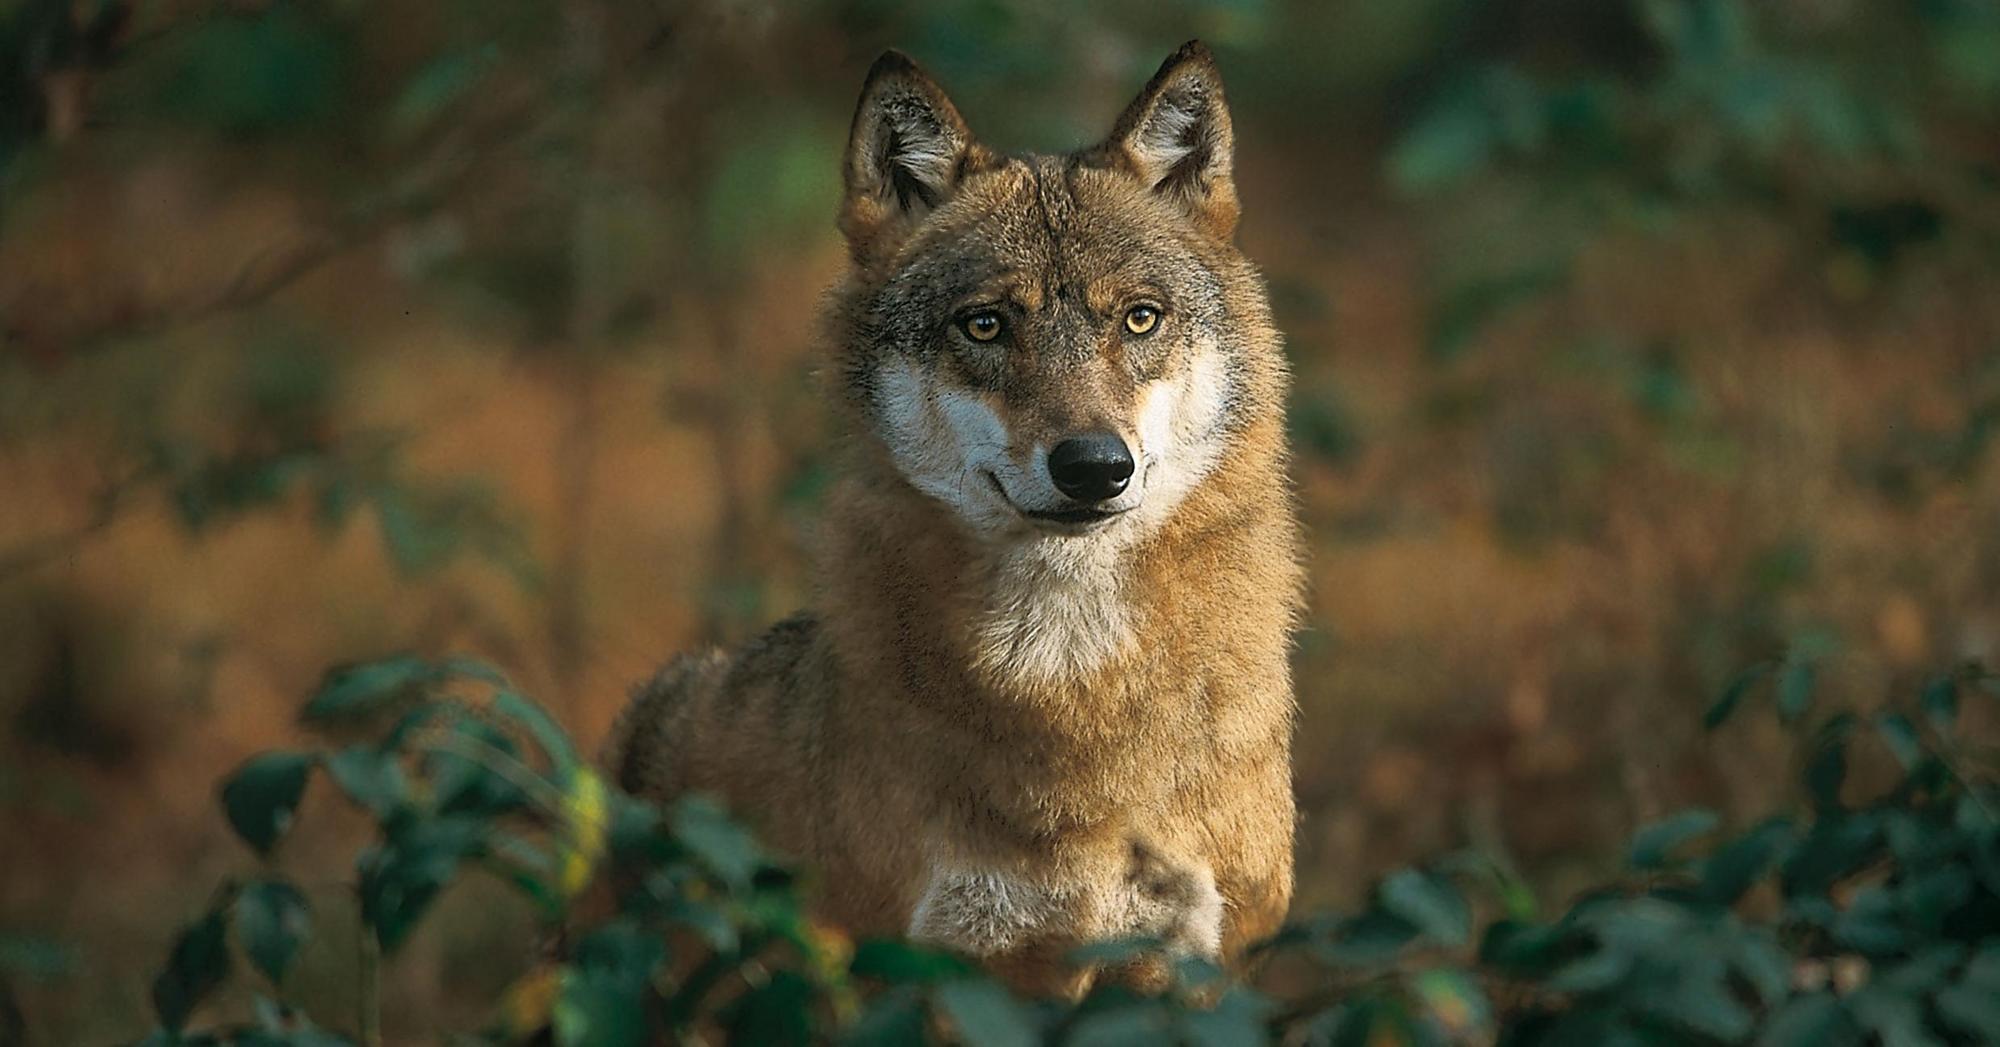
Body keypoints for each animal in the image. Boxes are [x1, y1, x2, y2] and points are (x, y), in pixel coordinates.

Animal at [603, 40, 1302, 995]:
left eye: (1139, 319)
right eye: (985, 326)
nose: (1094, 467)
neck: (1069, 684)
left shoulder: (1192, 972)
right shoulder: (926, 969)